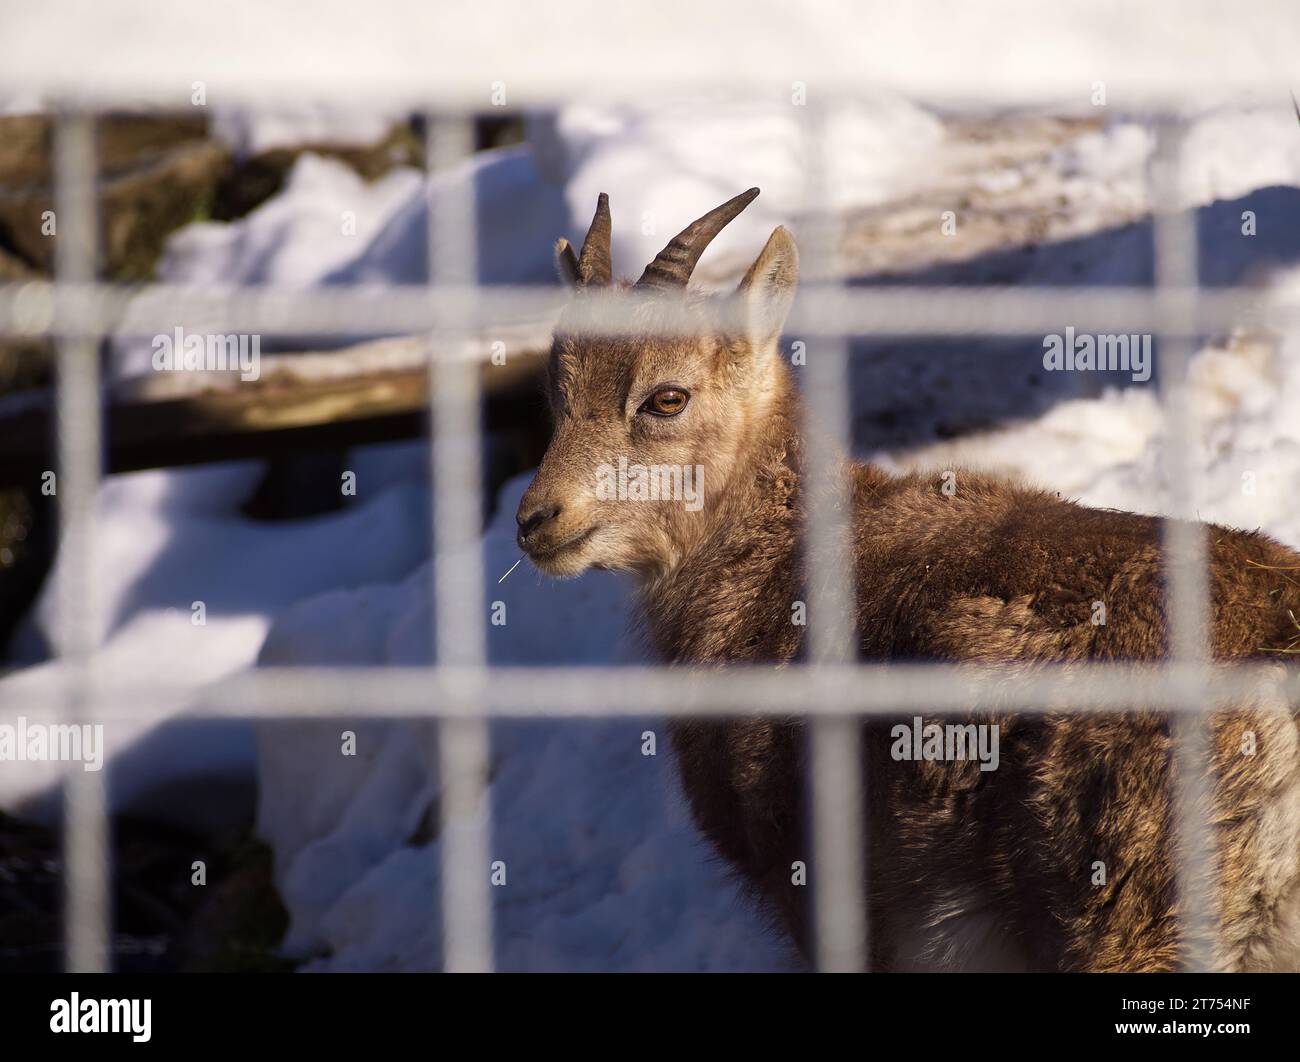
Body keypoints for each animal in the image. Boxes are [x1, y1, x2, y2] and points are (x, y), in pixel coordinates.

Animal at [516, 188, 1300, 971]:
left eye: (667, 397)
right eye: (557, 393)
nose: (536, 520)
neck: (767, 567)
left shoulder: (821, 892)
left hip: (1132, 920)